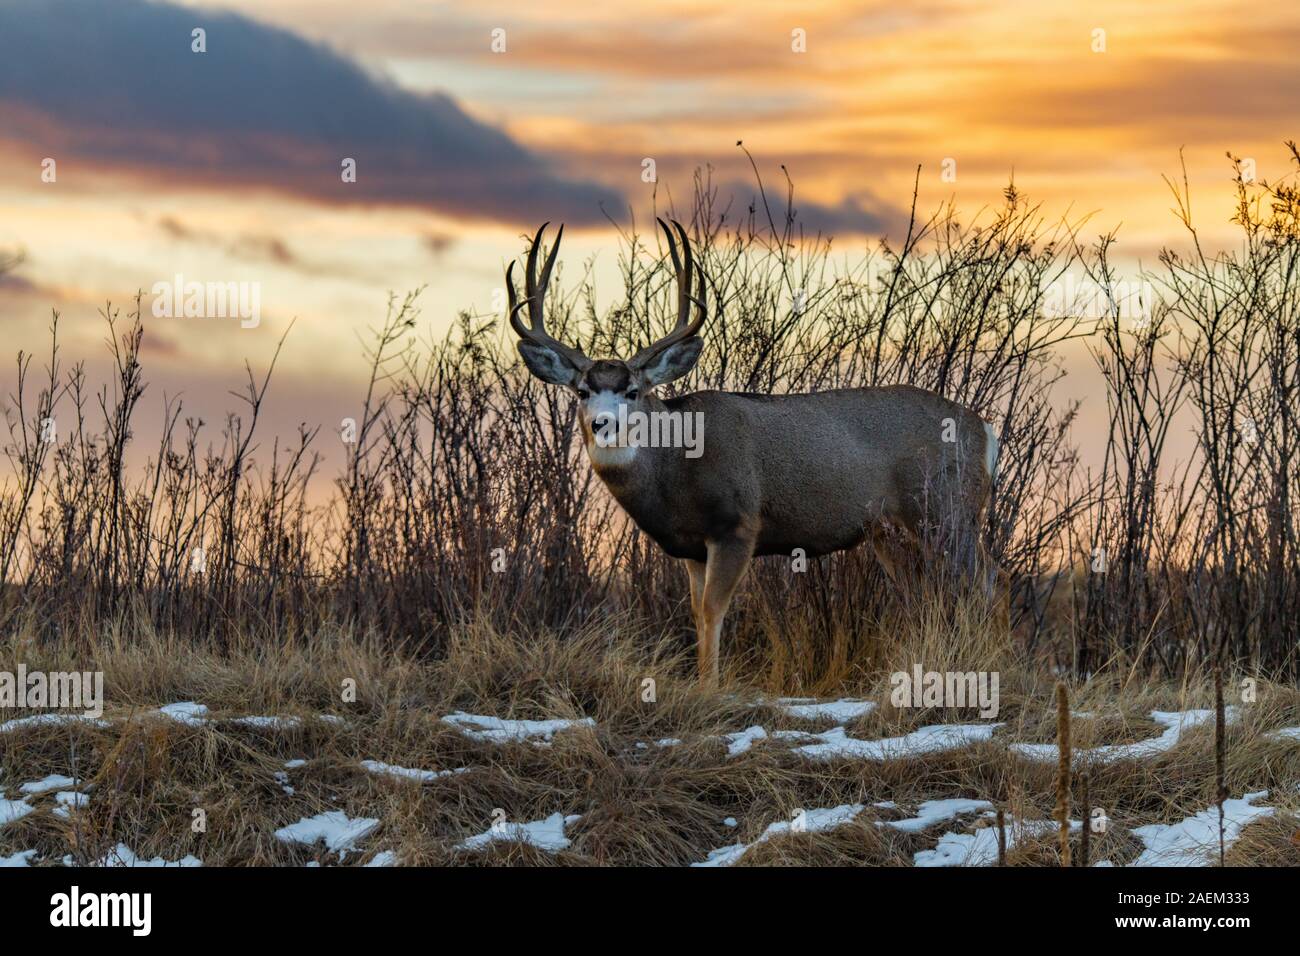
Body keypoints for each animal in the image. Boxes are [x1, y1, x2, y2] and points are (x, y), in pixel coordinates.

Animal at [507, 220, 999, 687]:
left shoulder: (738, 524)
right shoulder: (692, 548)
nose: (602, 424)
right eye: (582, 391)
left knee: (984, 581)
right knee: (925, 593)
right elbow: (695, 611)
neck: (676, 467)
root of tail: (985, 429)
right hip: (889, 530)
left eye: (632, 390)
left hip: (948, 507)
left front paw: (710, 686)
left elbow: (713, 610)